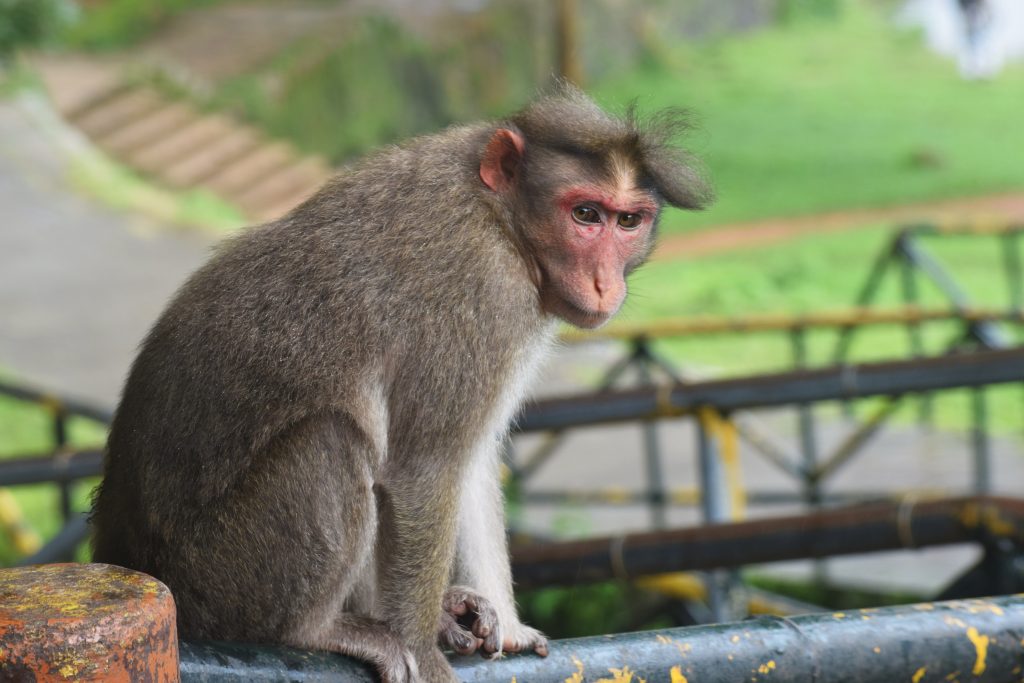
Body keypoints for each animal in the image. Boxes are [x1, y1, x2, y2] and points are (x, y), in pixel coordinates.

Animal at [90, 84, 710, 682]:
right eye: (584, 214)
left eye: (627, 222)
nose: (606, 284)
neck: (501, 218)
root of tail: (123, 550)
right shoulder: (484, 293)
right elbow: (425, 470)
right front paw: (422, 649)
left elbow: (469, 463)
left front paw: (508, 629)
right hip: (222, 581)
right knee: (332, 442)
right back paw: (319, 628)